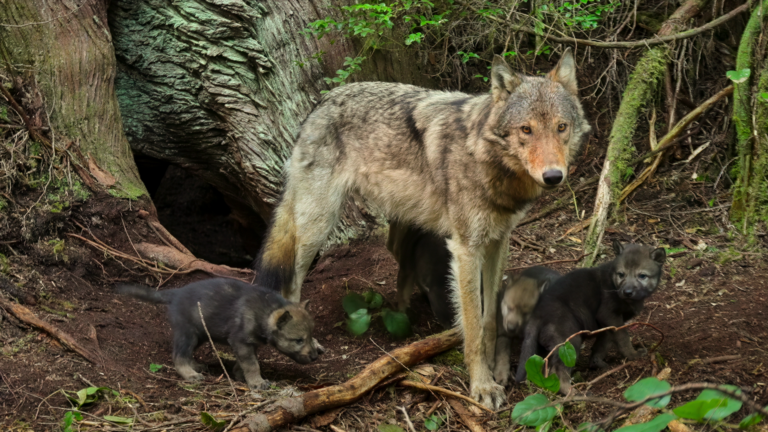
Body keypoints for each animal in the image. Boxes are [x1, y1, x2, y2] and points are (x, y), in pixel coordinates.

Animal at [117, 279, 319, 390]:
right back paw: (189, 374)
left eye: (310, 337)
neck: (267, 312)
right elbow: (253, 365)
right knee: (179, 355)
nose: (316, 356)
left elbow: (245, 362)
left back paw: (196, 366)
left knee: (187, 354)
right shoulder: (241, 342)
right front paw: (257, 383)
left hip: (200, 334)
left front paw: (240, 375)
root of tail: (176, 293)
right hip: (188, 334)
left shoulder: (249, 344)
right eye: (298, 340)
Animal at [256, 49, 590, 408]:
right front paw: (481, 386)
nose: (553, 176)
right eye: (526, 130)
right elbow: (472, 325)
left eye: (561, 127)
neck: (485, 160)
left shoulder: (498, 242)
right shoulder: (465, 249)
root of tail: (321, 102)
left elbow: (489, 319)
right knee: (292, 281)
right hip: (318, 225)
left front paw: (494, 371)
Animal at [515, 241, 666, 395]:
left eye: (642, 276)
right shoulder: (608, 315)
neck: (613, 282)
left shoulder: (608, 324)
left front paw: (597, 364)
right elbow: (623, 338)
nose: (627, 292)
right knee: (557, 371)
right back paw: (575, 394)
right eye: (621, 274)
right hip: (570, 341)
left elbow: (603, 343)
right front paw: (633, 355)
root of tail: (537, 313)